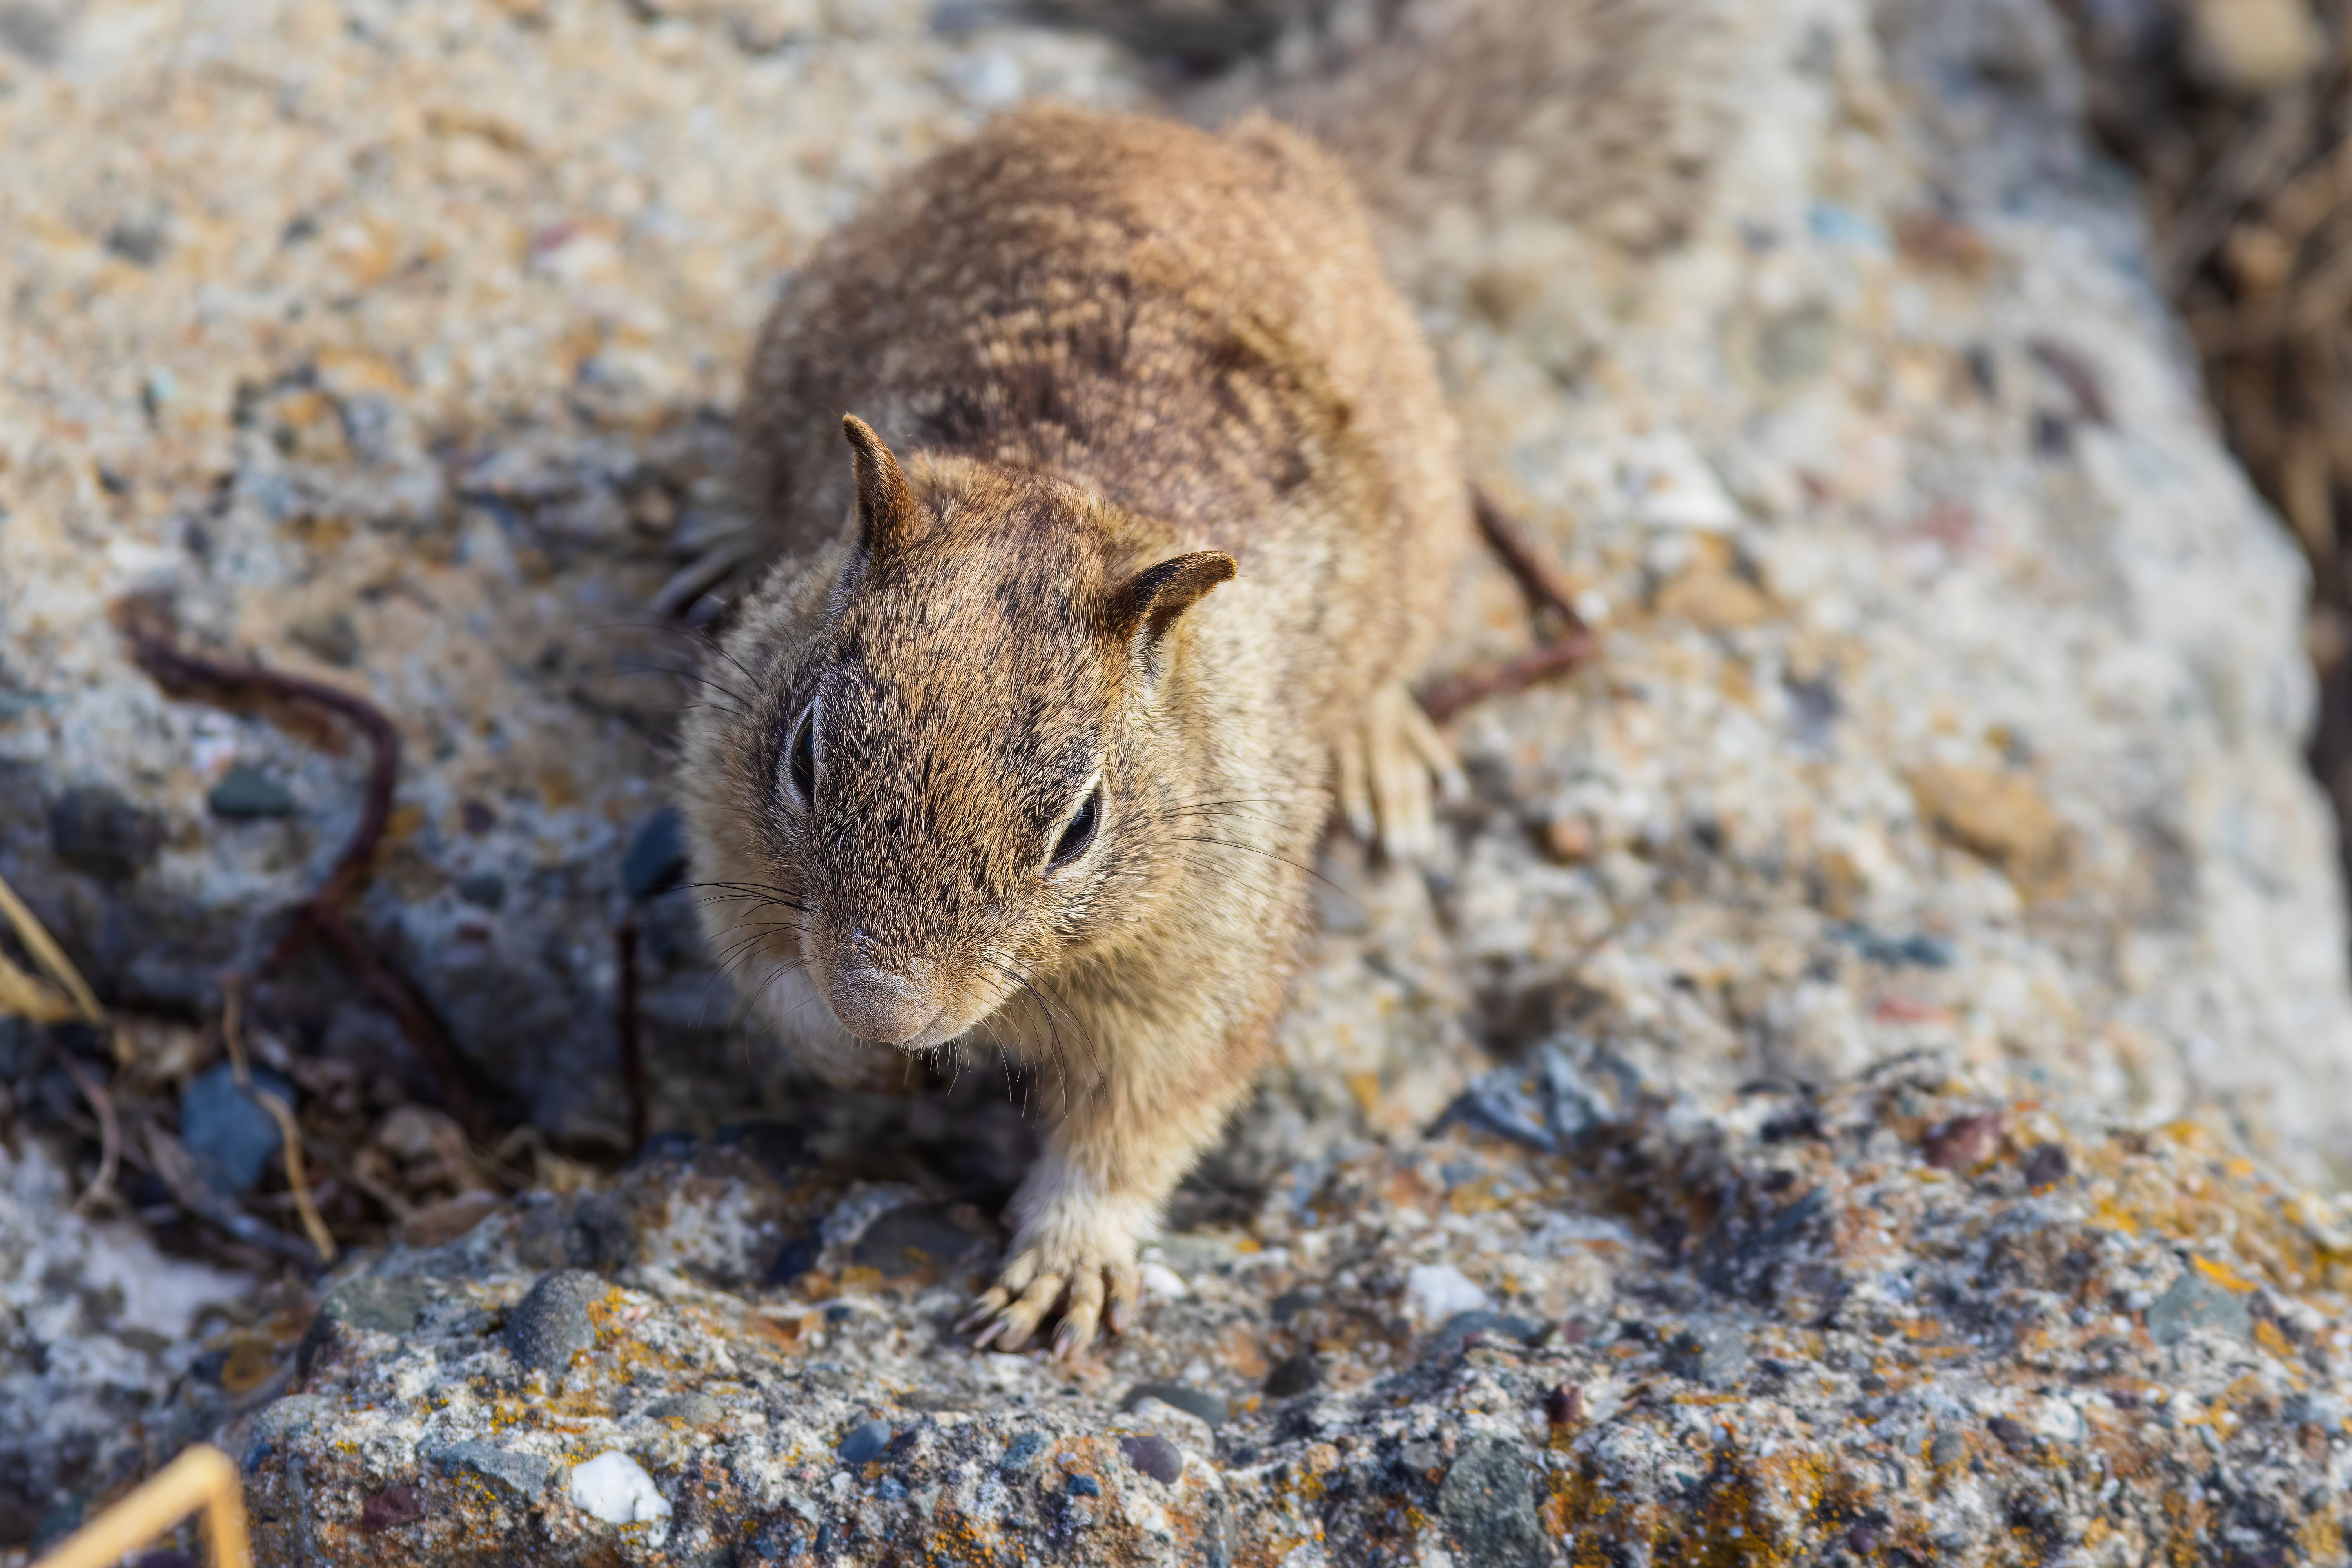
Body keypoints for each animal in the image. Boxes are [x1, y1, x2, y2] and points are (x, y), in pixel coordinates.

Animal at [677, 100, 1470, 1355]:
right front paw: (857, 1052)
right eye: (806, 755)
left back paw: (1385, 748)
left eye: (1081, 825)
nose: (886, 1006)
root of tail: (1222, 139)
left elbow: (1139, 1126)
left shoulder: (1205, 968)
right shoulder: (722, 817)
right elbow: (769, 979)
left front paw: (1066, 1265)